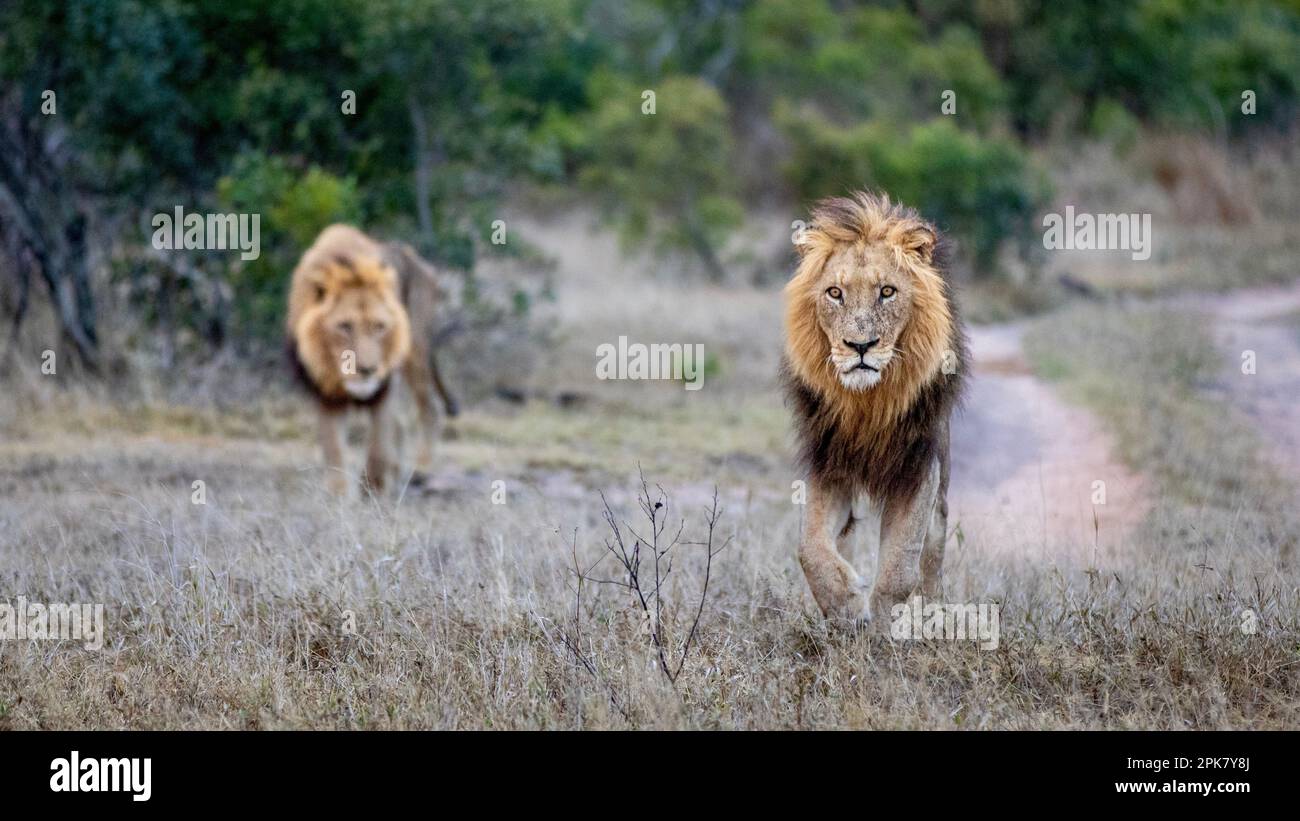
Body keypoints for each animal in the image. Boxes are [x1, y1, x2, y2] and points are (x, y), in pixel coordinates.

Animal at [287, 224, 459, 495]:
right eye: (344, 326)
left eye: (379, 326)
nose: (367, 369)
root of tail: (411, 254)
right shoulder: (323, 392)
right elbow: (333, 449)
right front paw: (338, 496)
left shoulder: (385, 386)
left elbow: (379, 447)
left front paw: (373, 491)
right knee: (402, 424)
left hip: (416, 348)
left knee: (429, 408)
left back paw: (421, 468)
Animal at [782, 192, 968, 625]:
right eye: (835, 293)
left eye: (887, 291)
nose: (860, 345)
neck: (867, 402)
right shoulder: (828, 466)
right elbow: (809, 547)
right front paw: (845, 604)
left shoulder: (918, 467)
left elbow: (900, 565)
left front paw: (885, 626)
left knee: (932, 557)